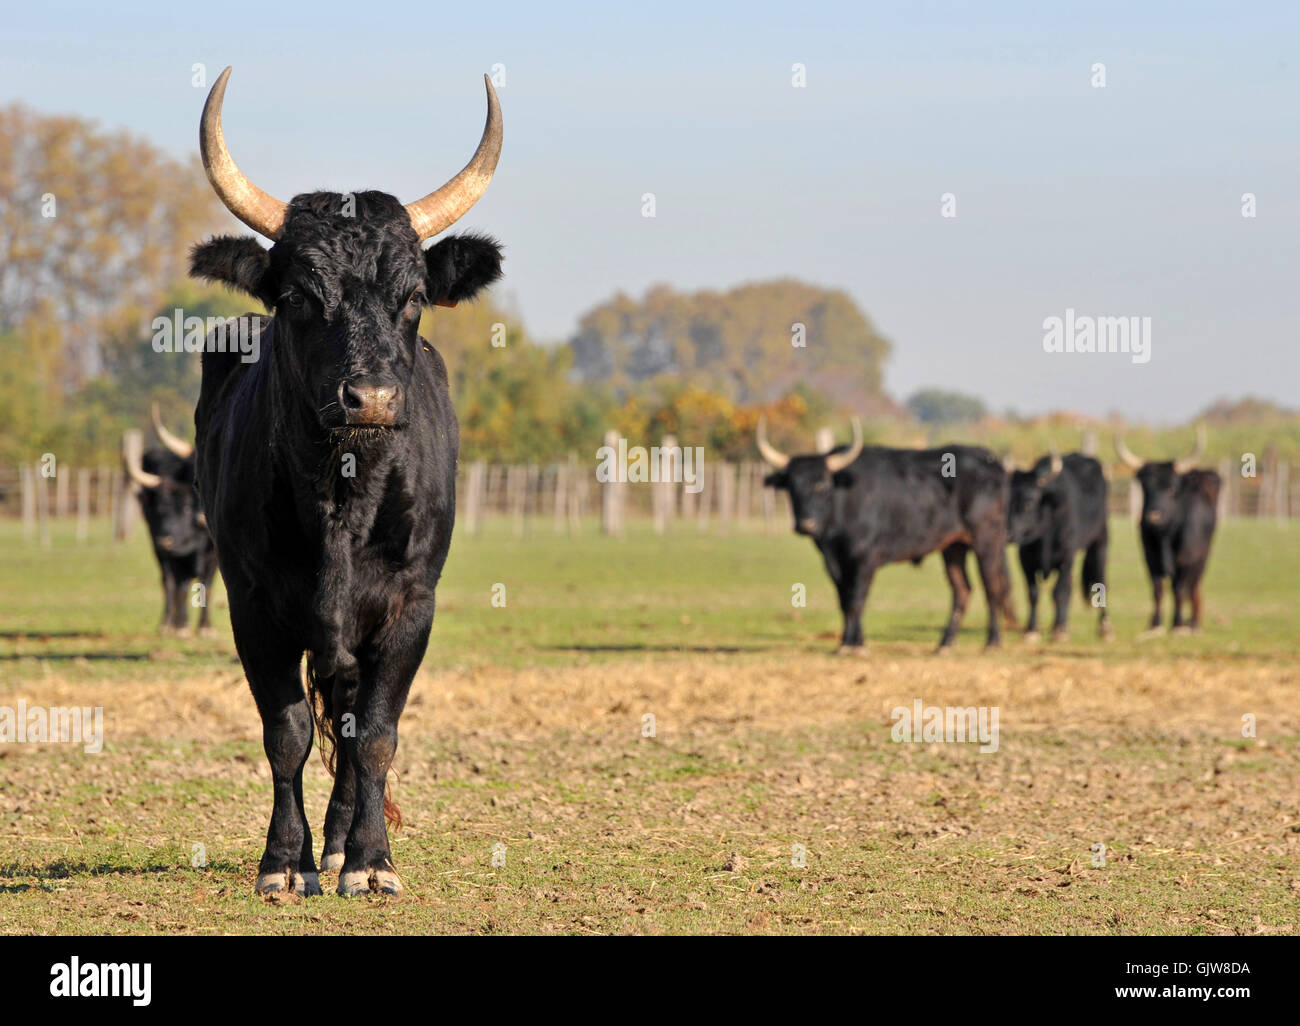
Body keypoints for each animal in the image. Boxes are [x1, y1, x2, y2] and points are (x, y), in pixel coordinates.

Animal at [122, 406, 218, 637]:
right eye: (159, 510)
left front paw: (205, 627)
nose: (165, 539)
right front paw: (180, 625)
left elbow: (208, 586)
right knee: (168, 583)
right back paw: (168, 623)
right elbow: (178, 585)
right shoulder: (172, 553)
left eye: (185, 507)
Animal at [186, 67, 503, 897]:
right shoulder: (253, 605)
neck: (342, 497)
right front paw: (282, 864)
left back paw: (340, 847)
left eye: (414, 296)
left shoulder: (409, 607)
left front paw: (369, 863)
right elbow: (287, 732)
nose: (373, 399)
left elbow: (377, 736)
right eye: (298, 296)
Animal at [758, 419, 1016, 653]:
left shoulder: (865, 558)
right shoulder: (832, 560)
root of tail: (989, 460)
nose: (806, 524)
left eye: (821, 484)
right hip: (954, 547)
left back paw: (992, 642)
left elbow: (856, 600)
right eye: (792, 486)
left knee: (992, 587)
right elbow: (844, 599)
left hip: (986, 540)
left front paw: (854, 646)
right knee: (962, 590)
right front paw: (849, 641)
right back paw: (945, 644)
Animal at [1006, 450, 1111, 642]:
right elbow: (1033, 593)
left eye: (1030, 501)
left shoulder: (1066, 557)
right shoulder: (1025, 560)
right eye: (1006, 500)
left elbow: (1059, 592)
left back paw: (1104, 627)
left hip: (1100, 542)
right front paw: (1031, 630)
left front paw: (1058, 631)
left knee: (1100, 579)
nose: (1007, 533)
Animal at [1115, 425, 1219, 636]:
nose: (1152, 517)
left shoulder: (1186, 559)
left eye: (1171, 489)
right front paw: (1155, 624)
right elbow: (1158, 590)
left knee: (1192, 586)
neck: (1167, 535)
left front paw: (1178, 624)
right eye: (1145, 488)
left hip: (1202, 557)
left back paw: (1193, 622)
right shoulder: (1150, 558)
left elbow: (1179, 590)